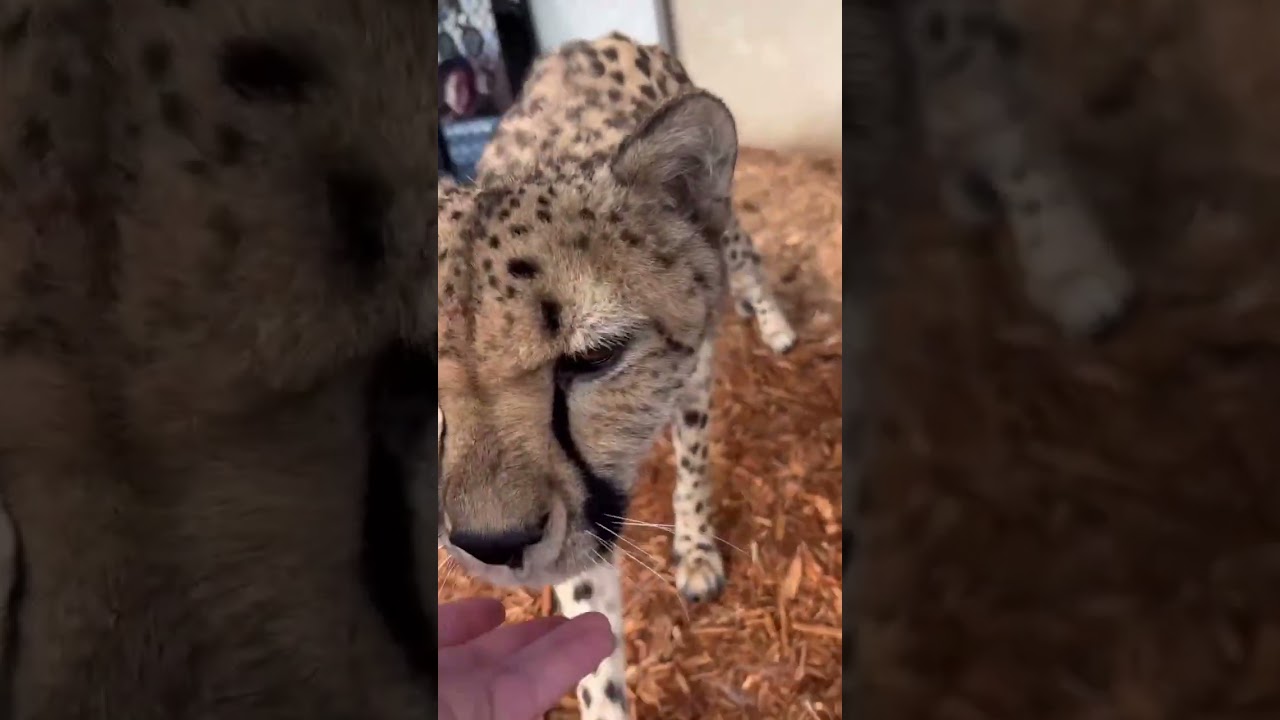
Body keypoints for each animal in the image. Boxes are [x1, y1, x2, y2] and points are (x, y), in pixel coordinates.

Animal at [438, 1, 1134, 717]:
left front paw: (695, 551)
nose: (493, 546)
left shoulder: (692, 377)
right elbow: (591, 631)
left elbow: (694, 466)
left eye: (594, 356)